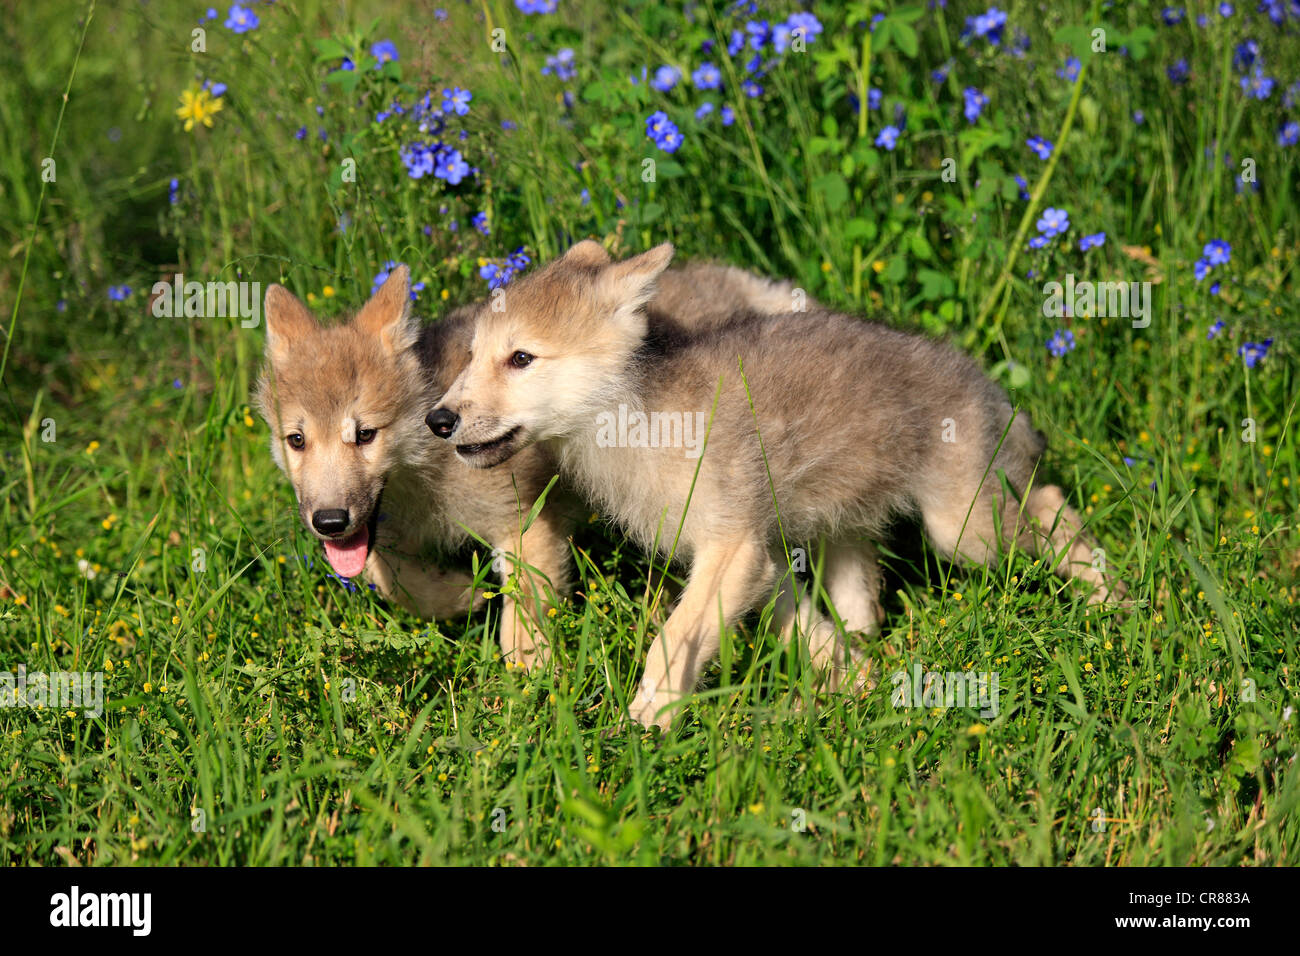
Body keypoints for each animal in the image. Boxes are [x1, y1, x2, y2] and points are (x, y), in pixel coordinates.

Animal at [256, 258, 805, 669]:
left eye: (365, 435)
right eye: (297, 440)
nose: (329, 521)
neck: (425, 474)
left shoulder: (524, 522)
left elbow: (520, 634)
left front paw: (527, 702)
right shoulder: (379, 537)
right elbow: (389, 580)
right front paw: (458, 596)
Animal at [426, 241, 1125, 729]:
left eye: (521, 358)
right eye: (471, 356)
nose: (438, 420)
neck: (643, 425)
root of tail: (986, 383)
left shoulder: (735, 547)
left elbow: (670, 644)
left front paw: (644, 728)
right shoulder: (761, 561)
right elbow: (813, 638)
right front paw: (861, 689)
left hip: (965, 531)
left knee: (1052, 504)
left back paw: (1112, 600)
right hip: (859, 525)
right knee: (863, 601)